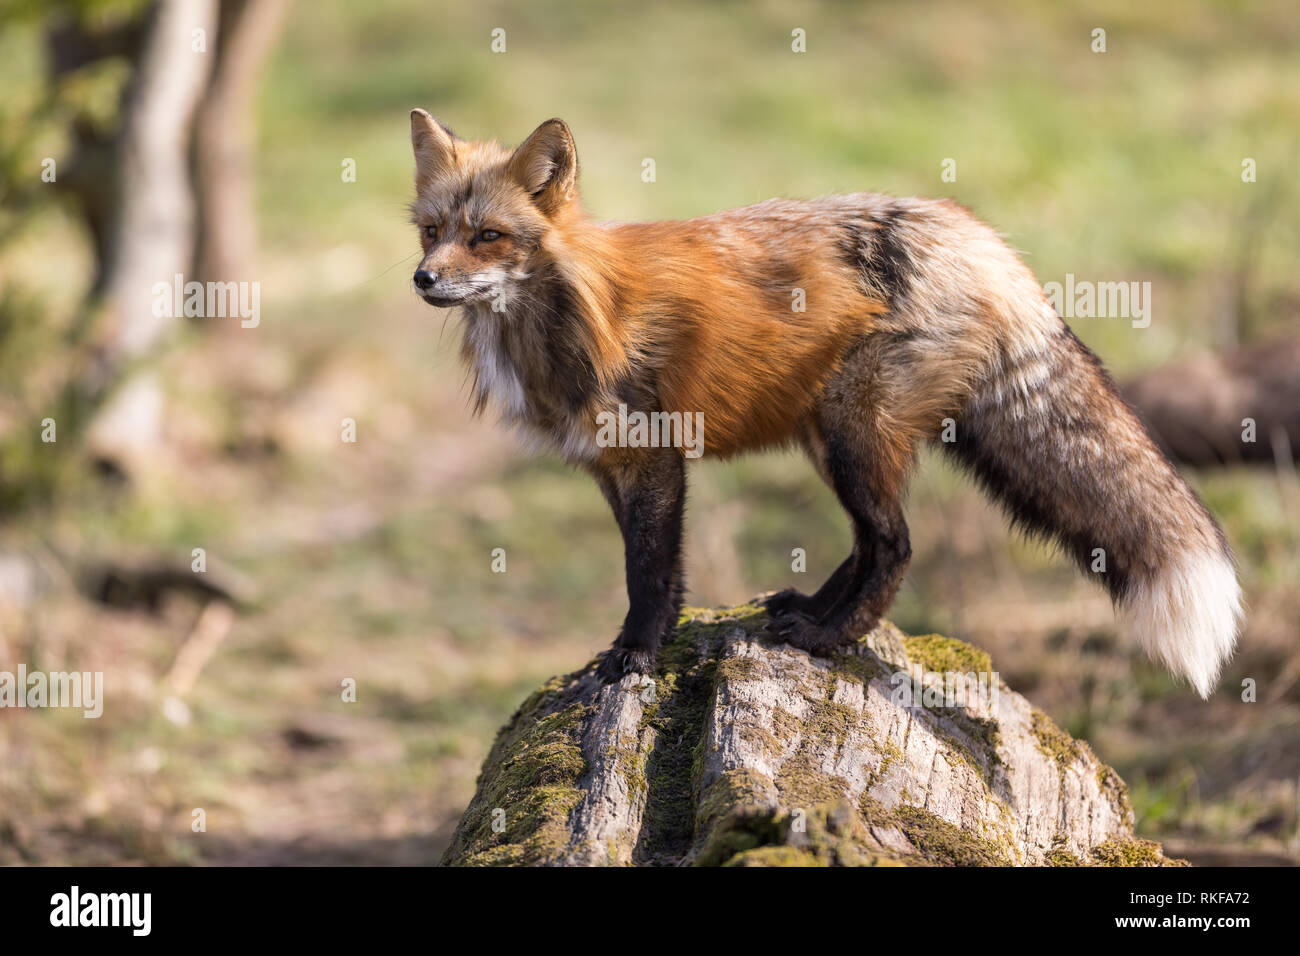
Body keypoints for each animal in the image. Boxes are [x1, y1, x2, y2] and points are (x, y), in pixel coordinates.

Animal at [407, 110, 1243, 697]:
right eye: (431, 231)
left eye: (488, 236)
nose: (423, 280)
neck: (566, 312)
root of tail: (981, 236)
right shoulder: (613, 466)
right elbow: (663, 575)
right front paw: (655, 643)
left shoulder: (652, 455)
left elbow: (646, 573)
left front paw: (636, 655)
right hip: (827, 436)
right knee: (870, 540)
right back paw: (809, 612)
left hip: (852, 430)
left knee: (896, 544)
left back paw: (829, 638)